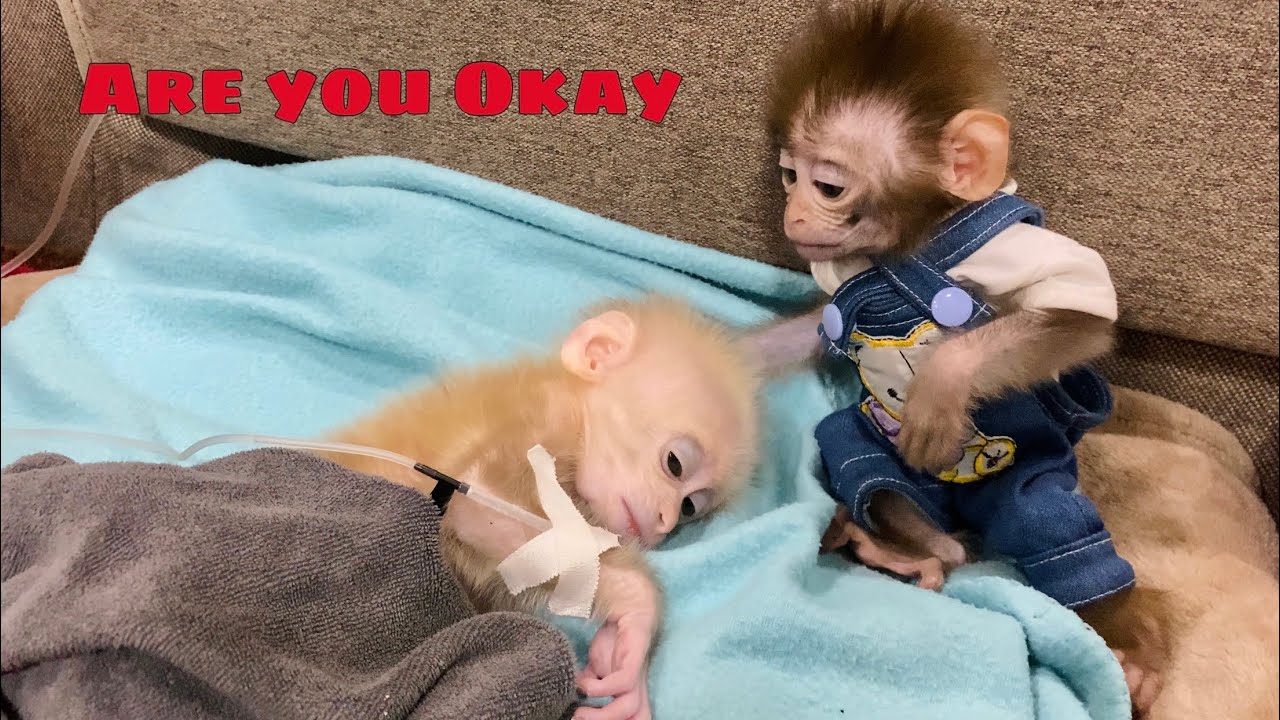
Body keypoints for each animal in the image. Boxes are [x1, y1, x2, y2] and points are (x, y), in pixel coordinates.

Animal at [318, 294, 763, 720]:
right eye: (675, 463)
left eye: (689, 507)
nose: (663, 523)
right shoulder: (546, 421)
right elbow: (478, 506)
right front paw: (637, 610)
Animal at [752, 0, 1164, 712]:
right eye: (789, 175)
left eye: (826, 186)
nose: (794, 215)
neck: (906, 250)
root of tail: (962, 520)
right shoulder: (841, 282)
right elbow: (811, 332)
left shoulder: (1008, 248)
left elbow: (1079, 318)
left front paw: (940, 391)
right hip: (886, 468)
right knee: (861, 460)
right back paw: (913, 550)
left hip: (1031, 481)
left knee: (1053, 525)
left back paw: (1130, 655)